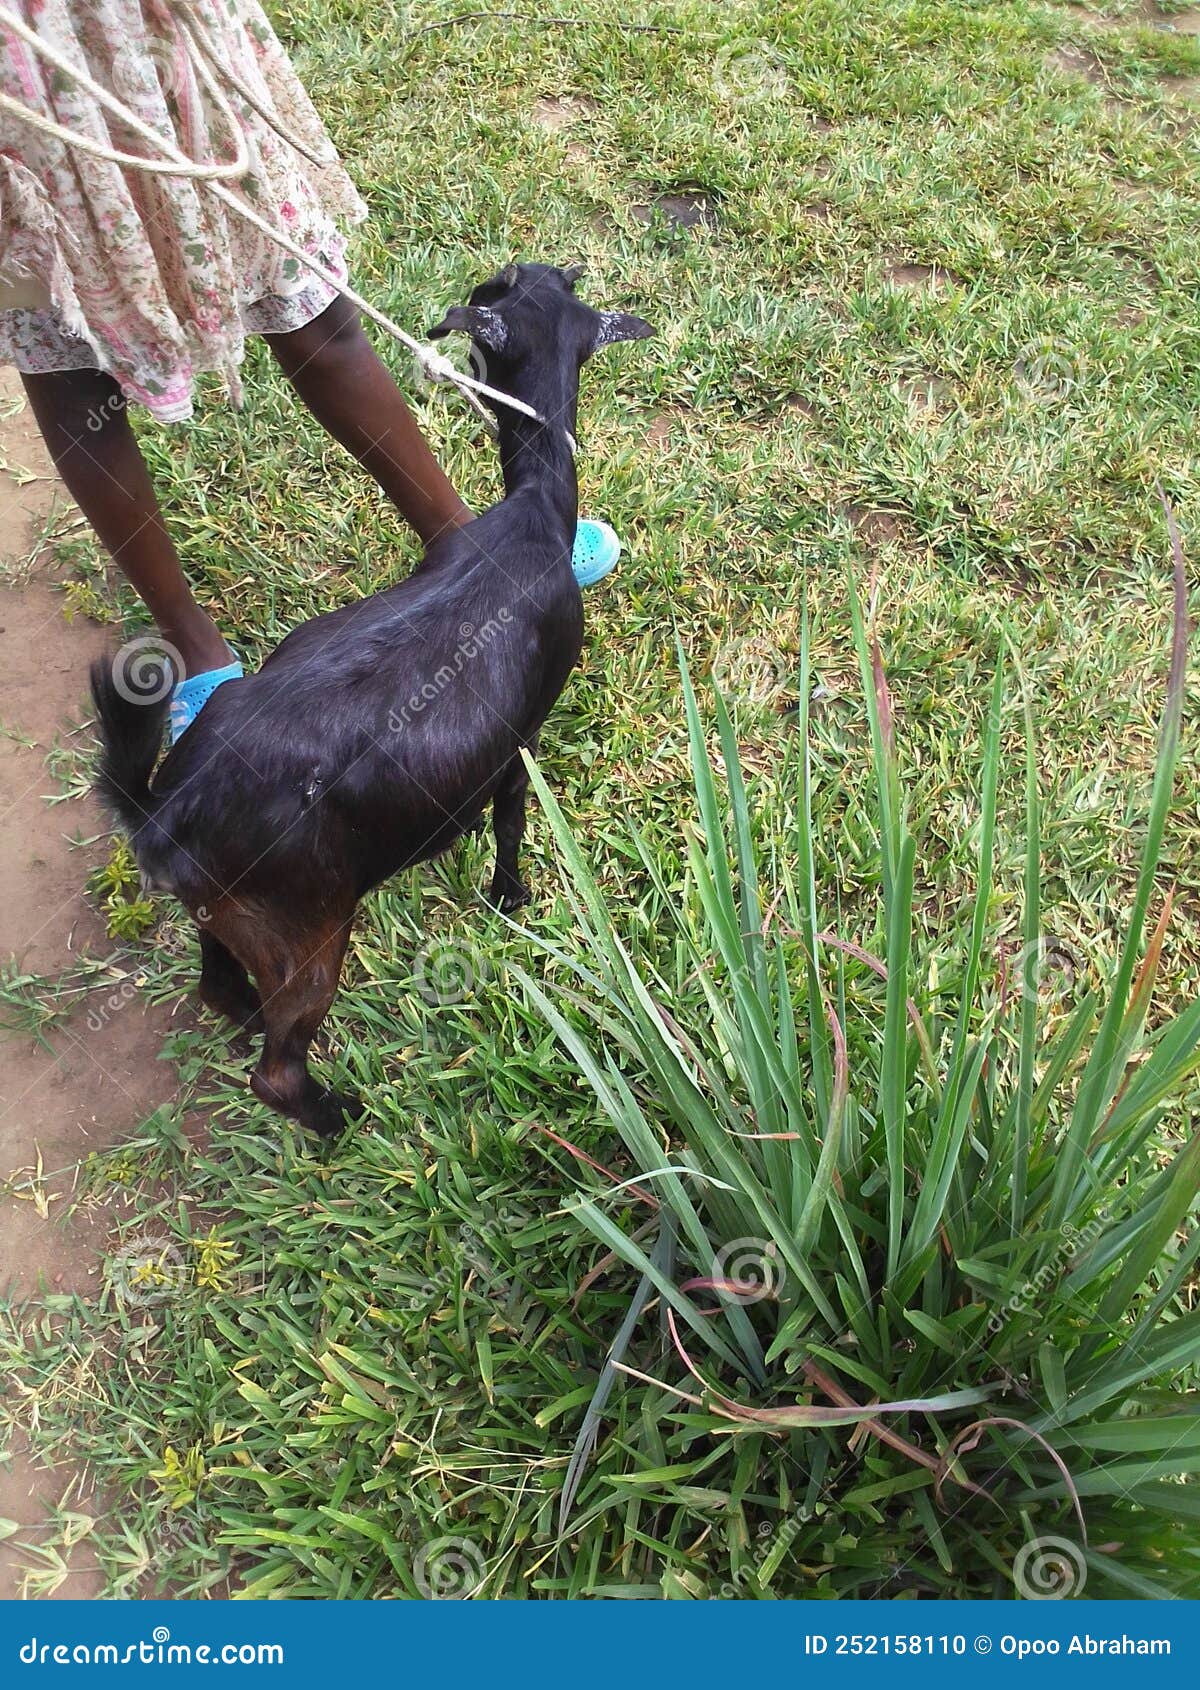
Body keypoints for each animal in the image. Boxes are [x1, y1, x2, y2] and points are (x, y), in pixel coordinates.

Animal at [90, 263, 654, 1138]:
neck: (532, 512)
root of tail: (162, 810)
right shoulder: (522, 731)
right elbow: (512, 818)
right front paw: (510, 898)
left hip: (224, 914)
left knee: (217, 986)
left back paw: (252, 1023)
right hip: (305, 924)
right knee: (276, 1072)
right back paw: (339, 1116)